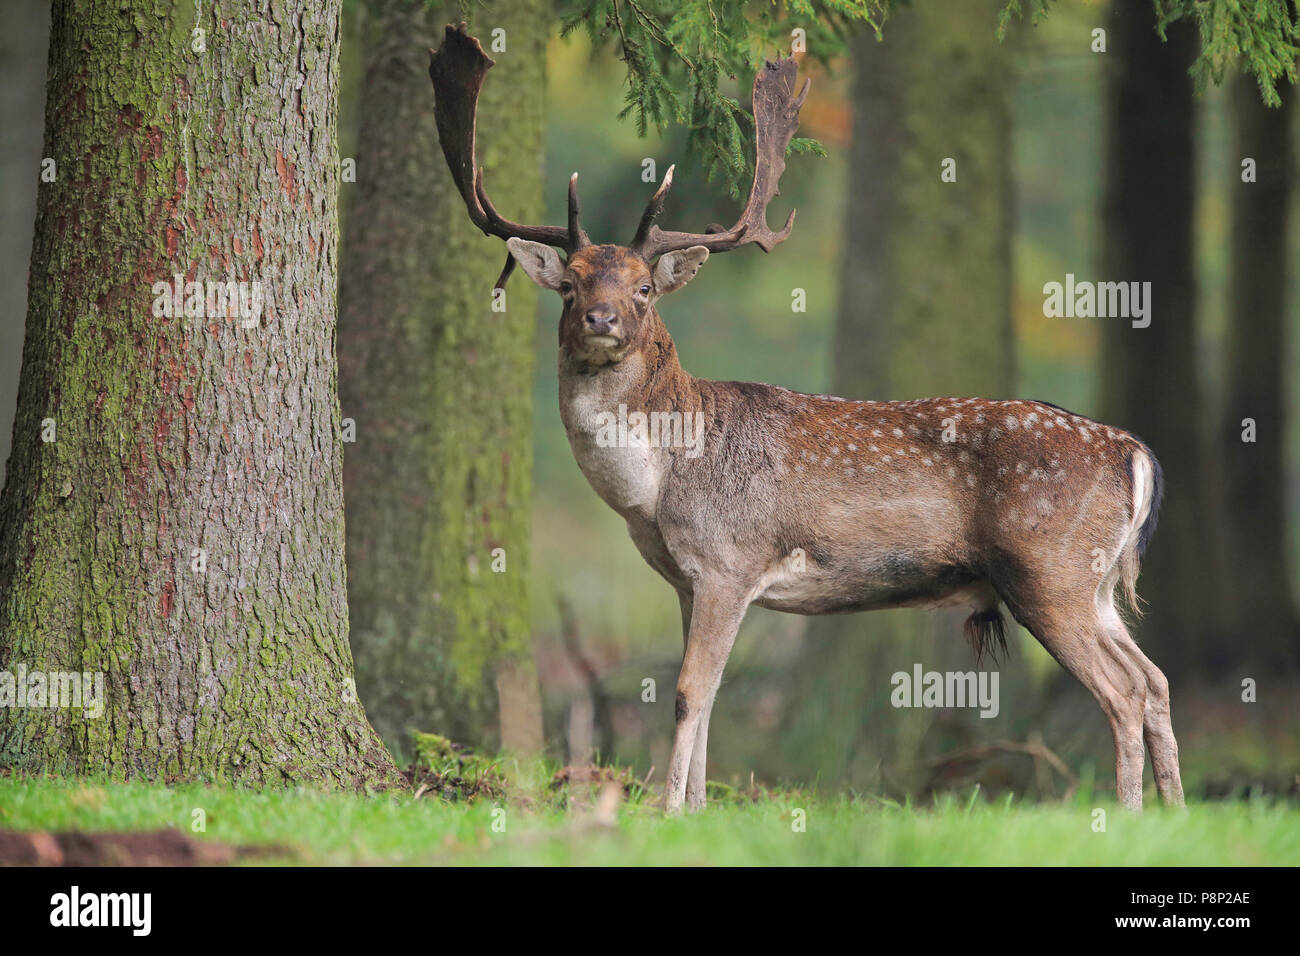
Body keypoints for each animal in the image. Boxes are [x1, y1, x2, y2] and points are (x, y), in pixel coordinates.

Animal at [428, 24, 1184, 812]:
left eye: (643, 289)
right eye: (570, 285)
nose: (601, 319)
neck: (656, 484)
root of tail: (1135, 454)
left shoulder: (729, 559)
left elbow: (688, 692)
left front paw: (668, 809)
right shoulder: (687, 579)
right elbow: (711, 696)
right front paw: (698, 809)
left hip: (1048, 568)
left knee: (1124, 692)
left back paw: (1128, 813)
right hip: (1097, 582)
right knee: (1156, 680)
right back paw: (1174, 810)